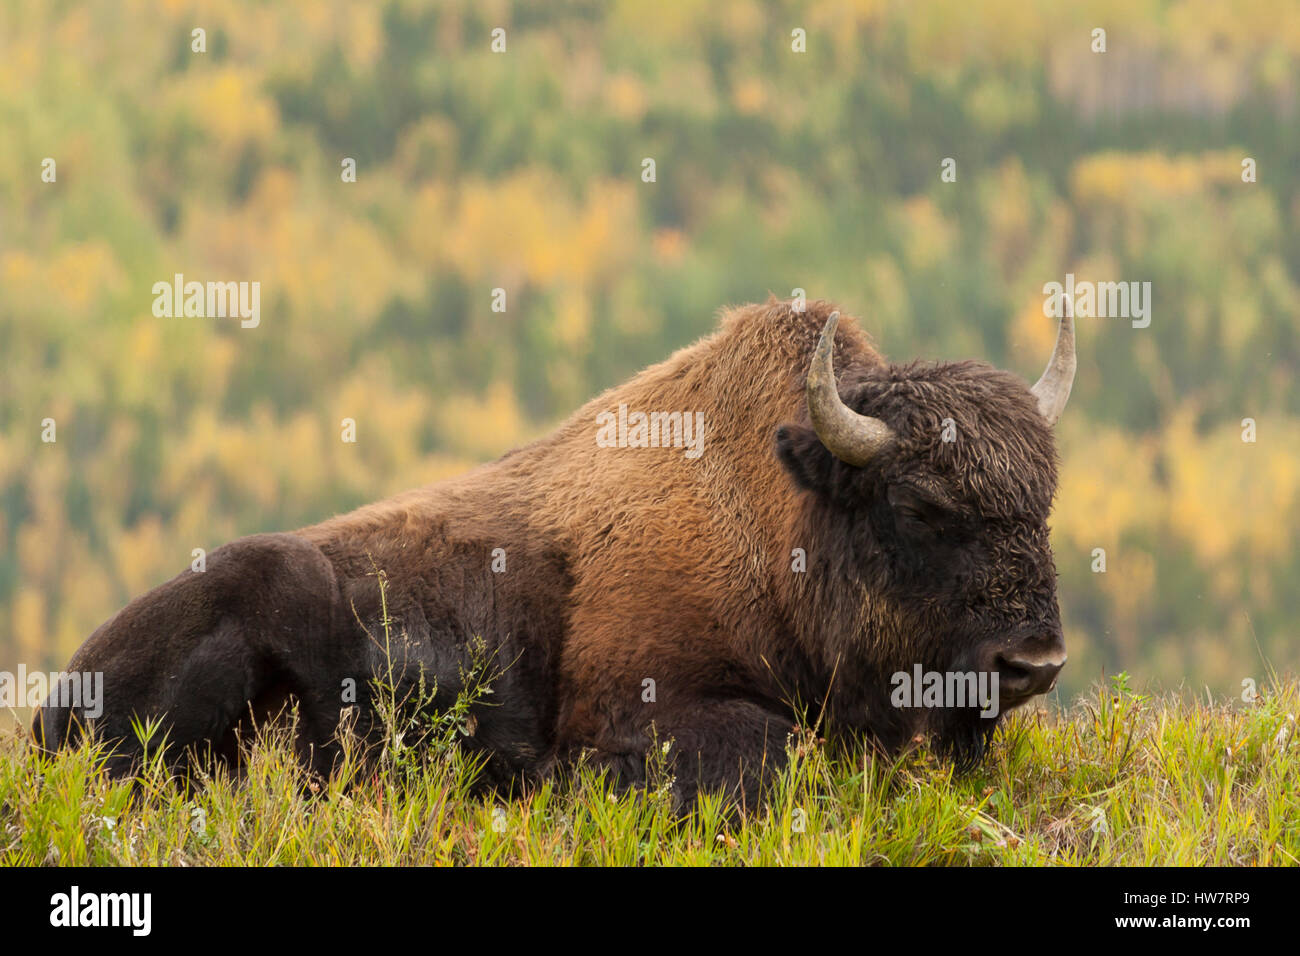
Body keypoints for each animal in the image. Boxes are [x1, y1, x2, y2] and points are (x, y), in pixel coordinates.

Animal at [34, 297, 1075, 809]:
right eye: (919, 504)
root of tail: (60, 694)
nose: (1035, 661)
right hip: (265, 585)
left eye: (1044, 501)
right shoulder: (646, 701)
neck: (776, 515)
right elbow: (778, 755)